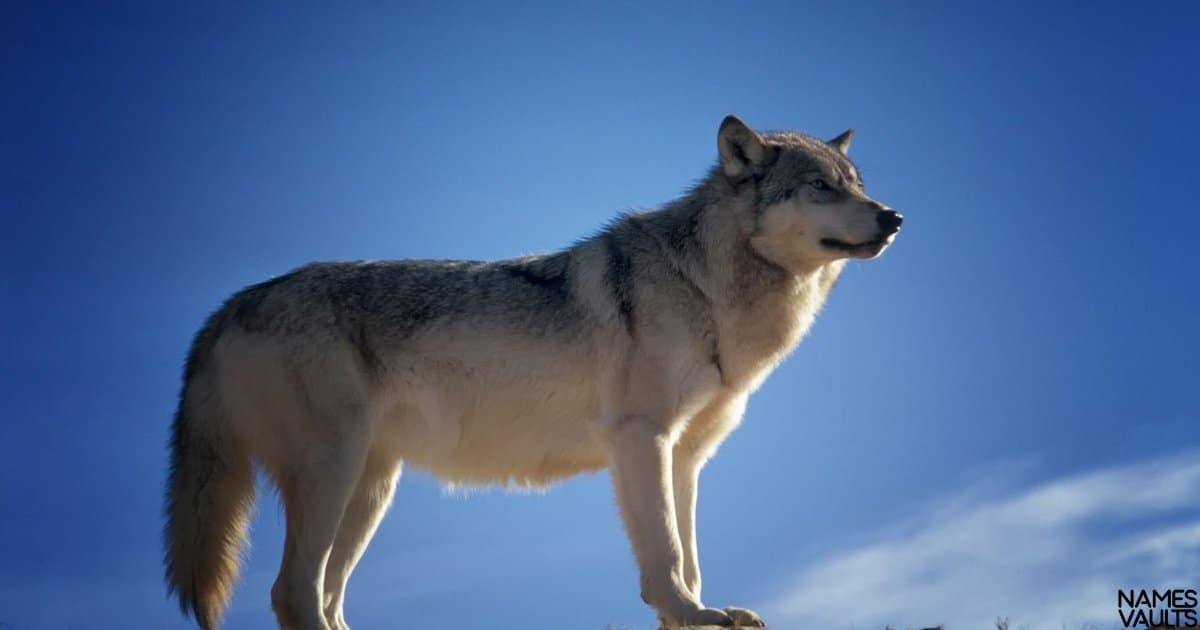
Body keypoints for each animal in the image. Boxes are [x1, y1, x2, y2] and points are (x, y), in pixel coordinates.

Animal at [163, 115, 902, 629]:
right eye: (821, 188)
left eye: (858, 184)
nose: (894, 217)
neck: (704, 286)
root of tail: (226, 307)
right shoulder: (641, 439)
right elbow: (665, 557)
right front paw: (690, 613)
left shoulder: (686, 456)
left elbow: (689, 557)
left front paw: (697, 616)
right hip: (333, 473)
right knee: (292, 593)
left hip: (370, 491)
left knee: (323, 597)